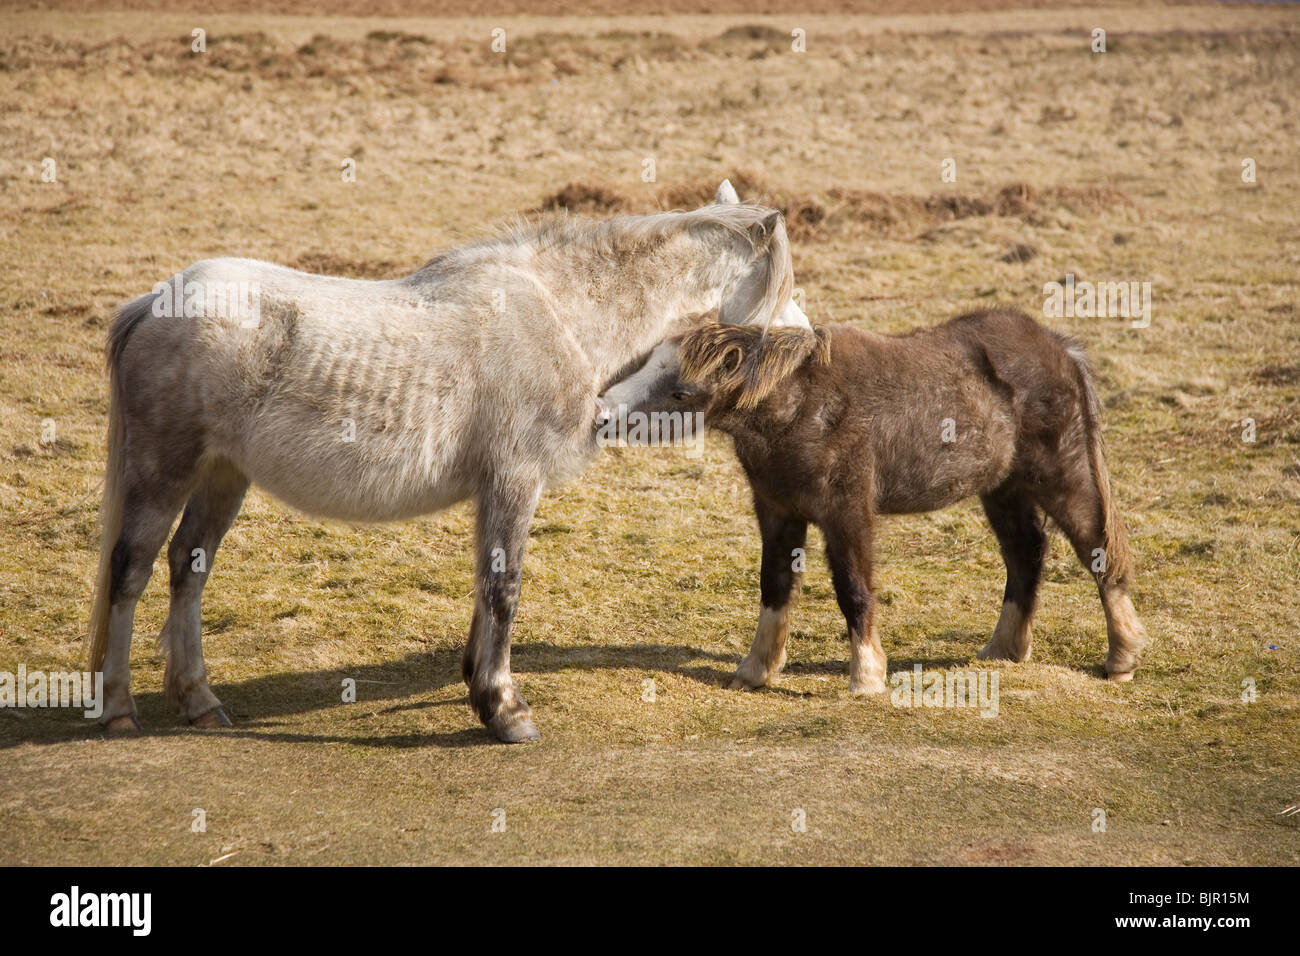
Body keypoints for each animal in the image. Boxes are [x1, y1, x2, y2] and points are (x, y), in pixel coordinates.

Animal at [88, 180, 810, 743]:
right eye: (778, 295)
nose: (810, 347)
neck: (561, 315)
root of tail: (156, 300)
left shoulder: (496, 490)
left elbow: (486, 584)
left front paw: (482, 692)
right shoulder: (515, 482)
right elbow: (504, 588)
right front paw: (506, 711)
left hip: (222, 476)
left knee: (187, 568)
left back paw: (198, 701)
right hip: (164, 472)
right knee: (131, 570)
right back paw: (119, 707)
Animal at [597, 309, 1148, 693]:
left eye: (681, 392)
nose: (601, 416)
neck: (801, 406)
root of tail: (1061, 348)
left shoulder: (847, 515)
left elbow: (854, 590)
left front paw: (865, 677)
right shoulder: (778, 513)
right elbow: (774, 586)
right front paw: (755, 670)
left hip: (1064, 479)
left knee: (1097, 550)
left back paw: (1121, 658)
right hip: (1003, 489)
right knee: (1026, 554)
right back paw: (1003, 650)